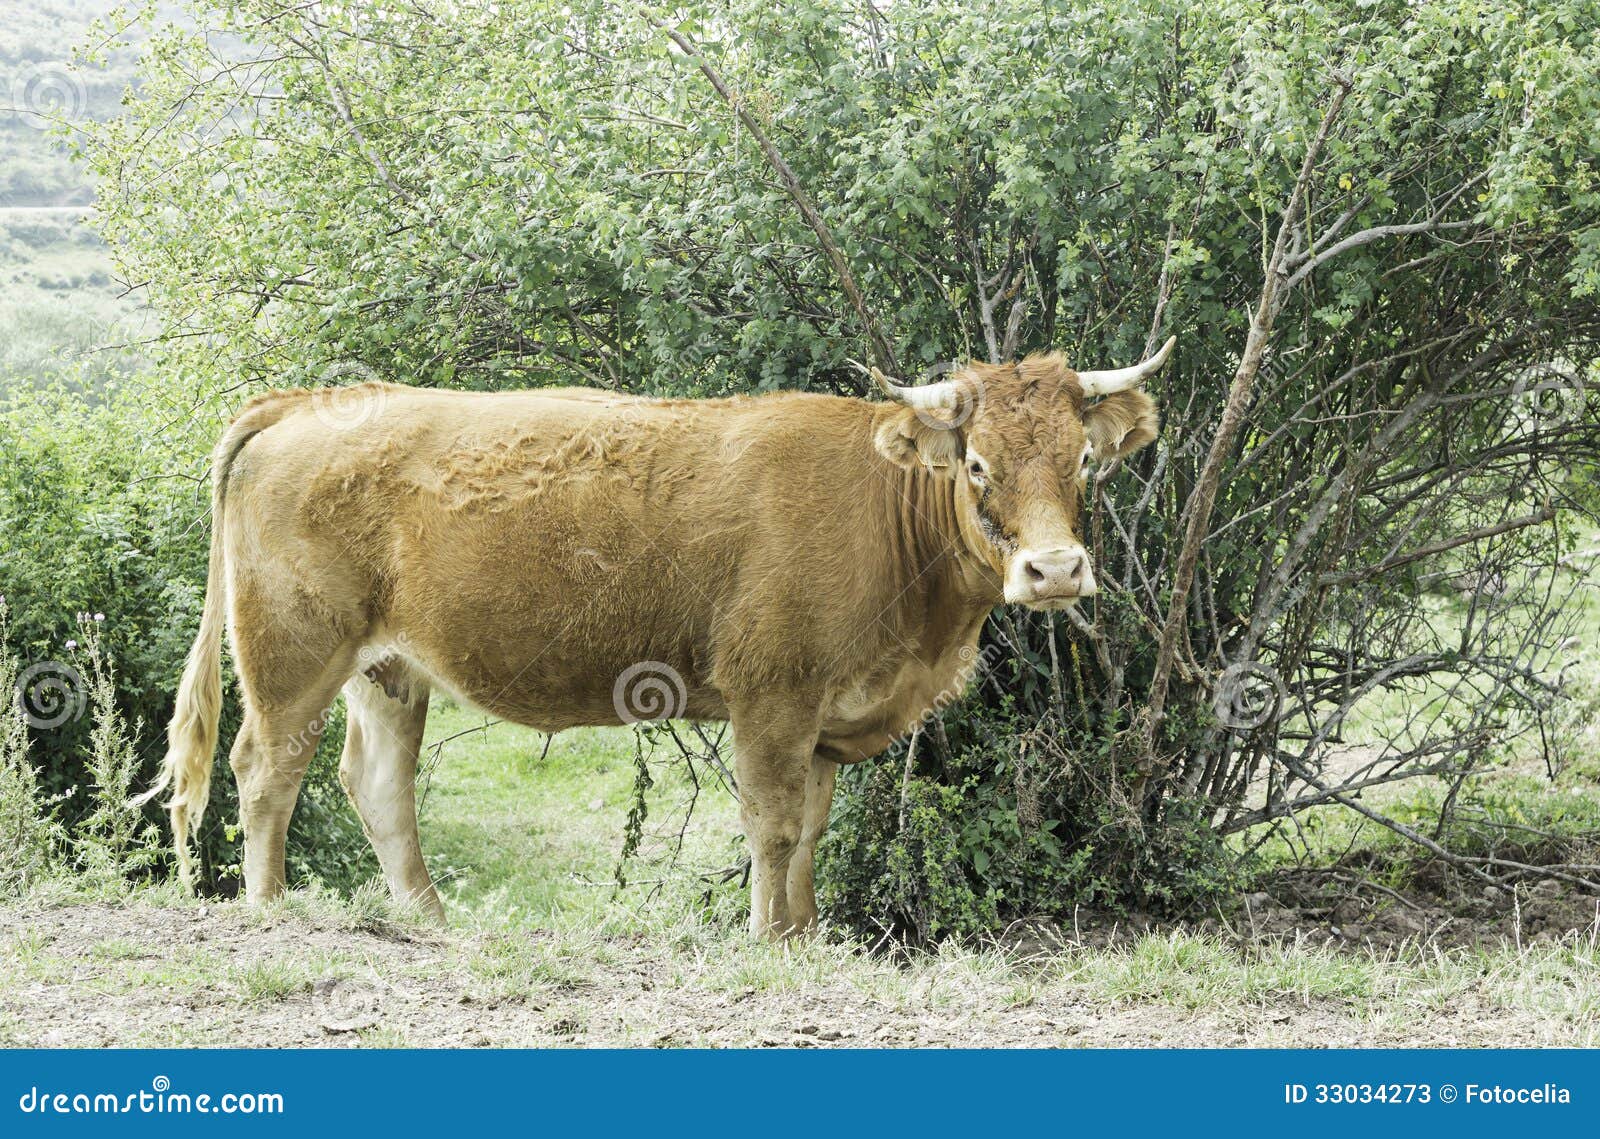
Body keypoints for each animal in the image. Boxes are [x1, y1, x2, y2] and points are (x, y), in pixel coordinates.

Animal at [140, 337, 1172, 939]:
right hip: (292, 655)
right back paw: (270, 906)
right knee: (265, 767)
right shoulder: (771, 695)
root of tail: (310, 401)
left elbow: (812, 829)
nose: (1056, 570)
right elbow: (772, 823)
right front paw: (765, 940)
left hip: (390, 668)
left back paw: (430, 918)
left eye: (1083, 459)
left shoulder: (825, 714)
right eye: (979, 464)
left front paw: (804, 933)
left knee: (378, 784)